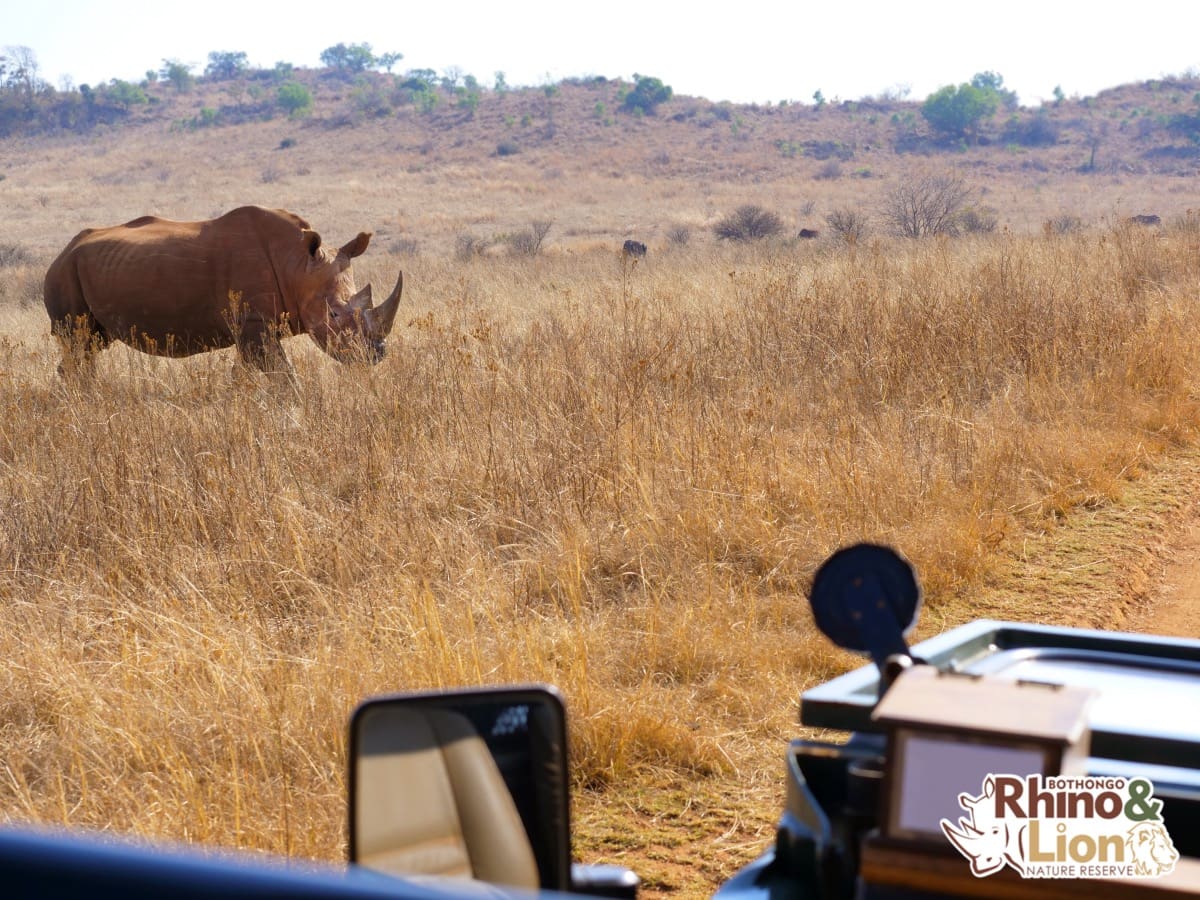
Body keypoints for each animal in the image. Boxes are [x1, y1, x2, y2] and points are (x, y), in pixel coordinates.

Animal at [42, 205, 403, 378]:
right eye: (334, 314)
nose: (376, 355)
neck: (297, 263)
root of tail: (63, 250)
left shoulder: (253, 326)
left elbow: (244, 375)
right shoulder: (253, 323)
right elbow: (282, 375)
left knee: (89, 346)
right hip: (63, 272)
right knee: (77, 342)